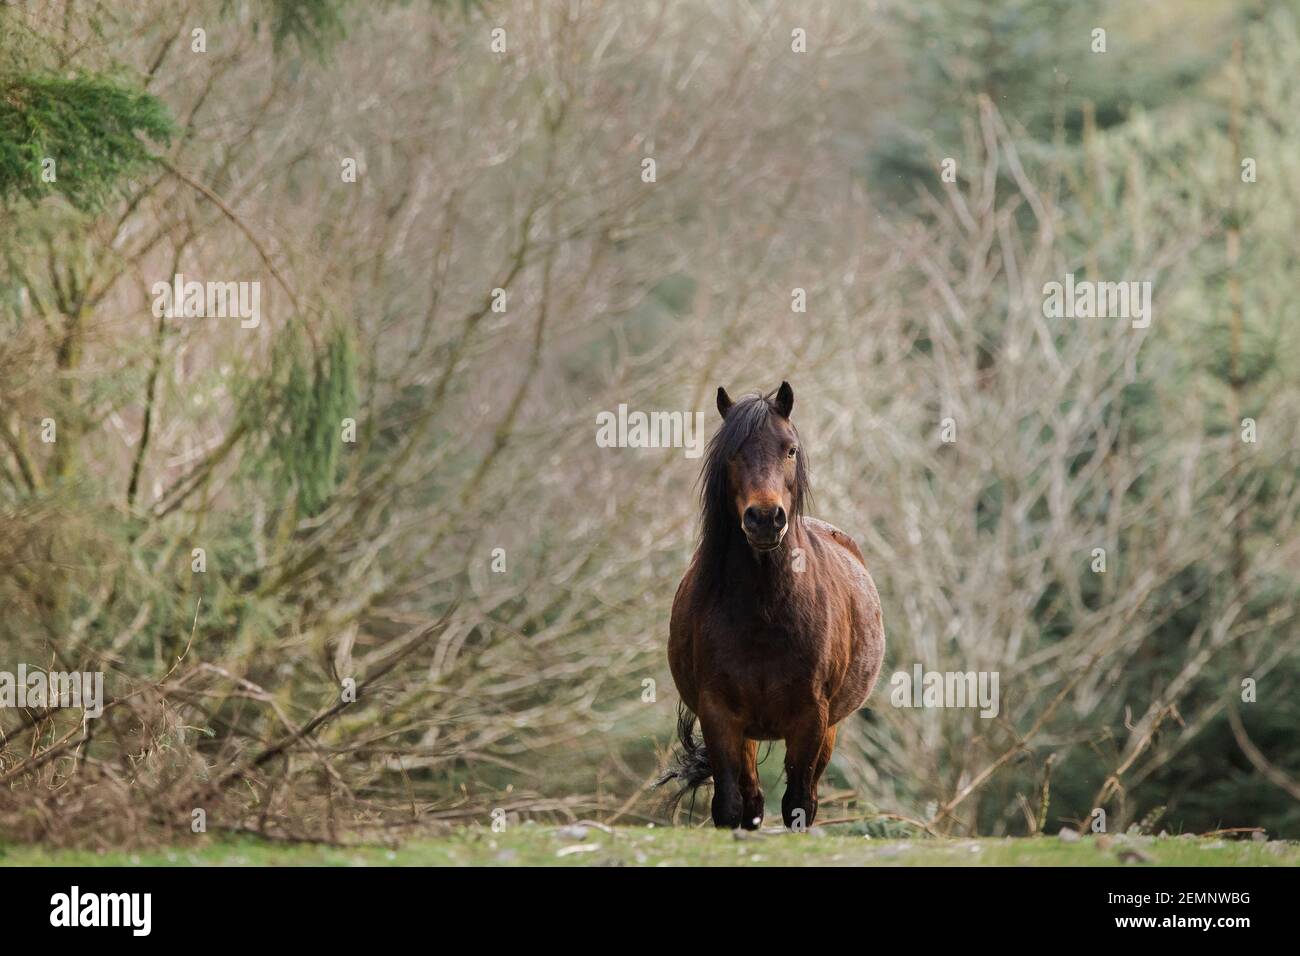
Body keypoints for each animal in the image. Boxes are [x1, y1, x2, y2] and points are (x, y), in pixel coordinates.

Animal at [661, 382, 885, 830]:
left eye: (790, 449)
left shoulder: (812, 717)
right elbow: (730, 805)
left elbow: (798, 804)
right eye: (732, 452)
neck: (764, 612)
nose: (765, 518)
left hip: (828, 729)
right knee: (751, 798)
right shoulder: (718, 713)